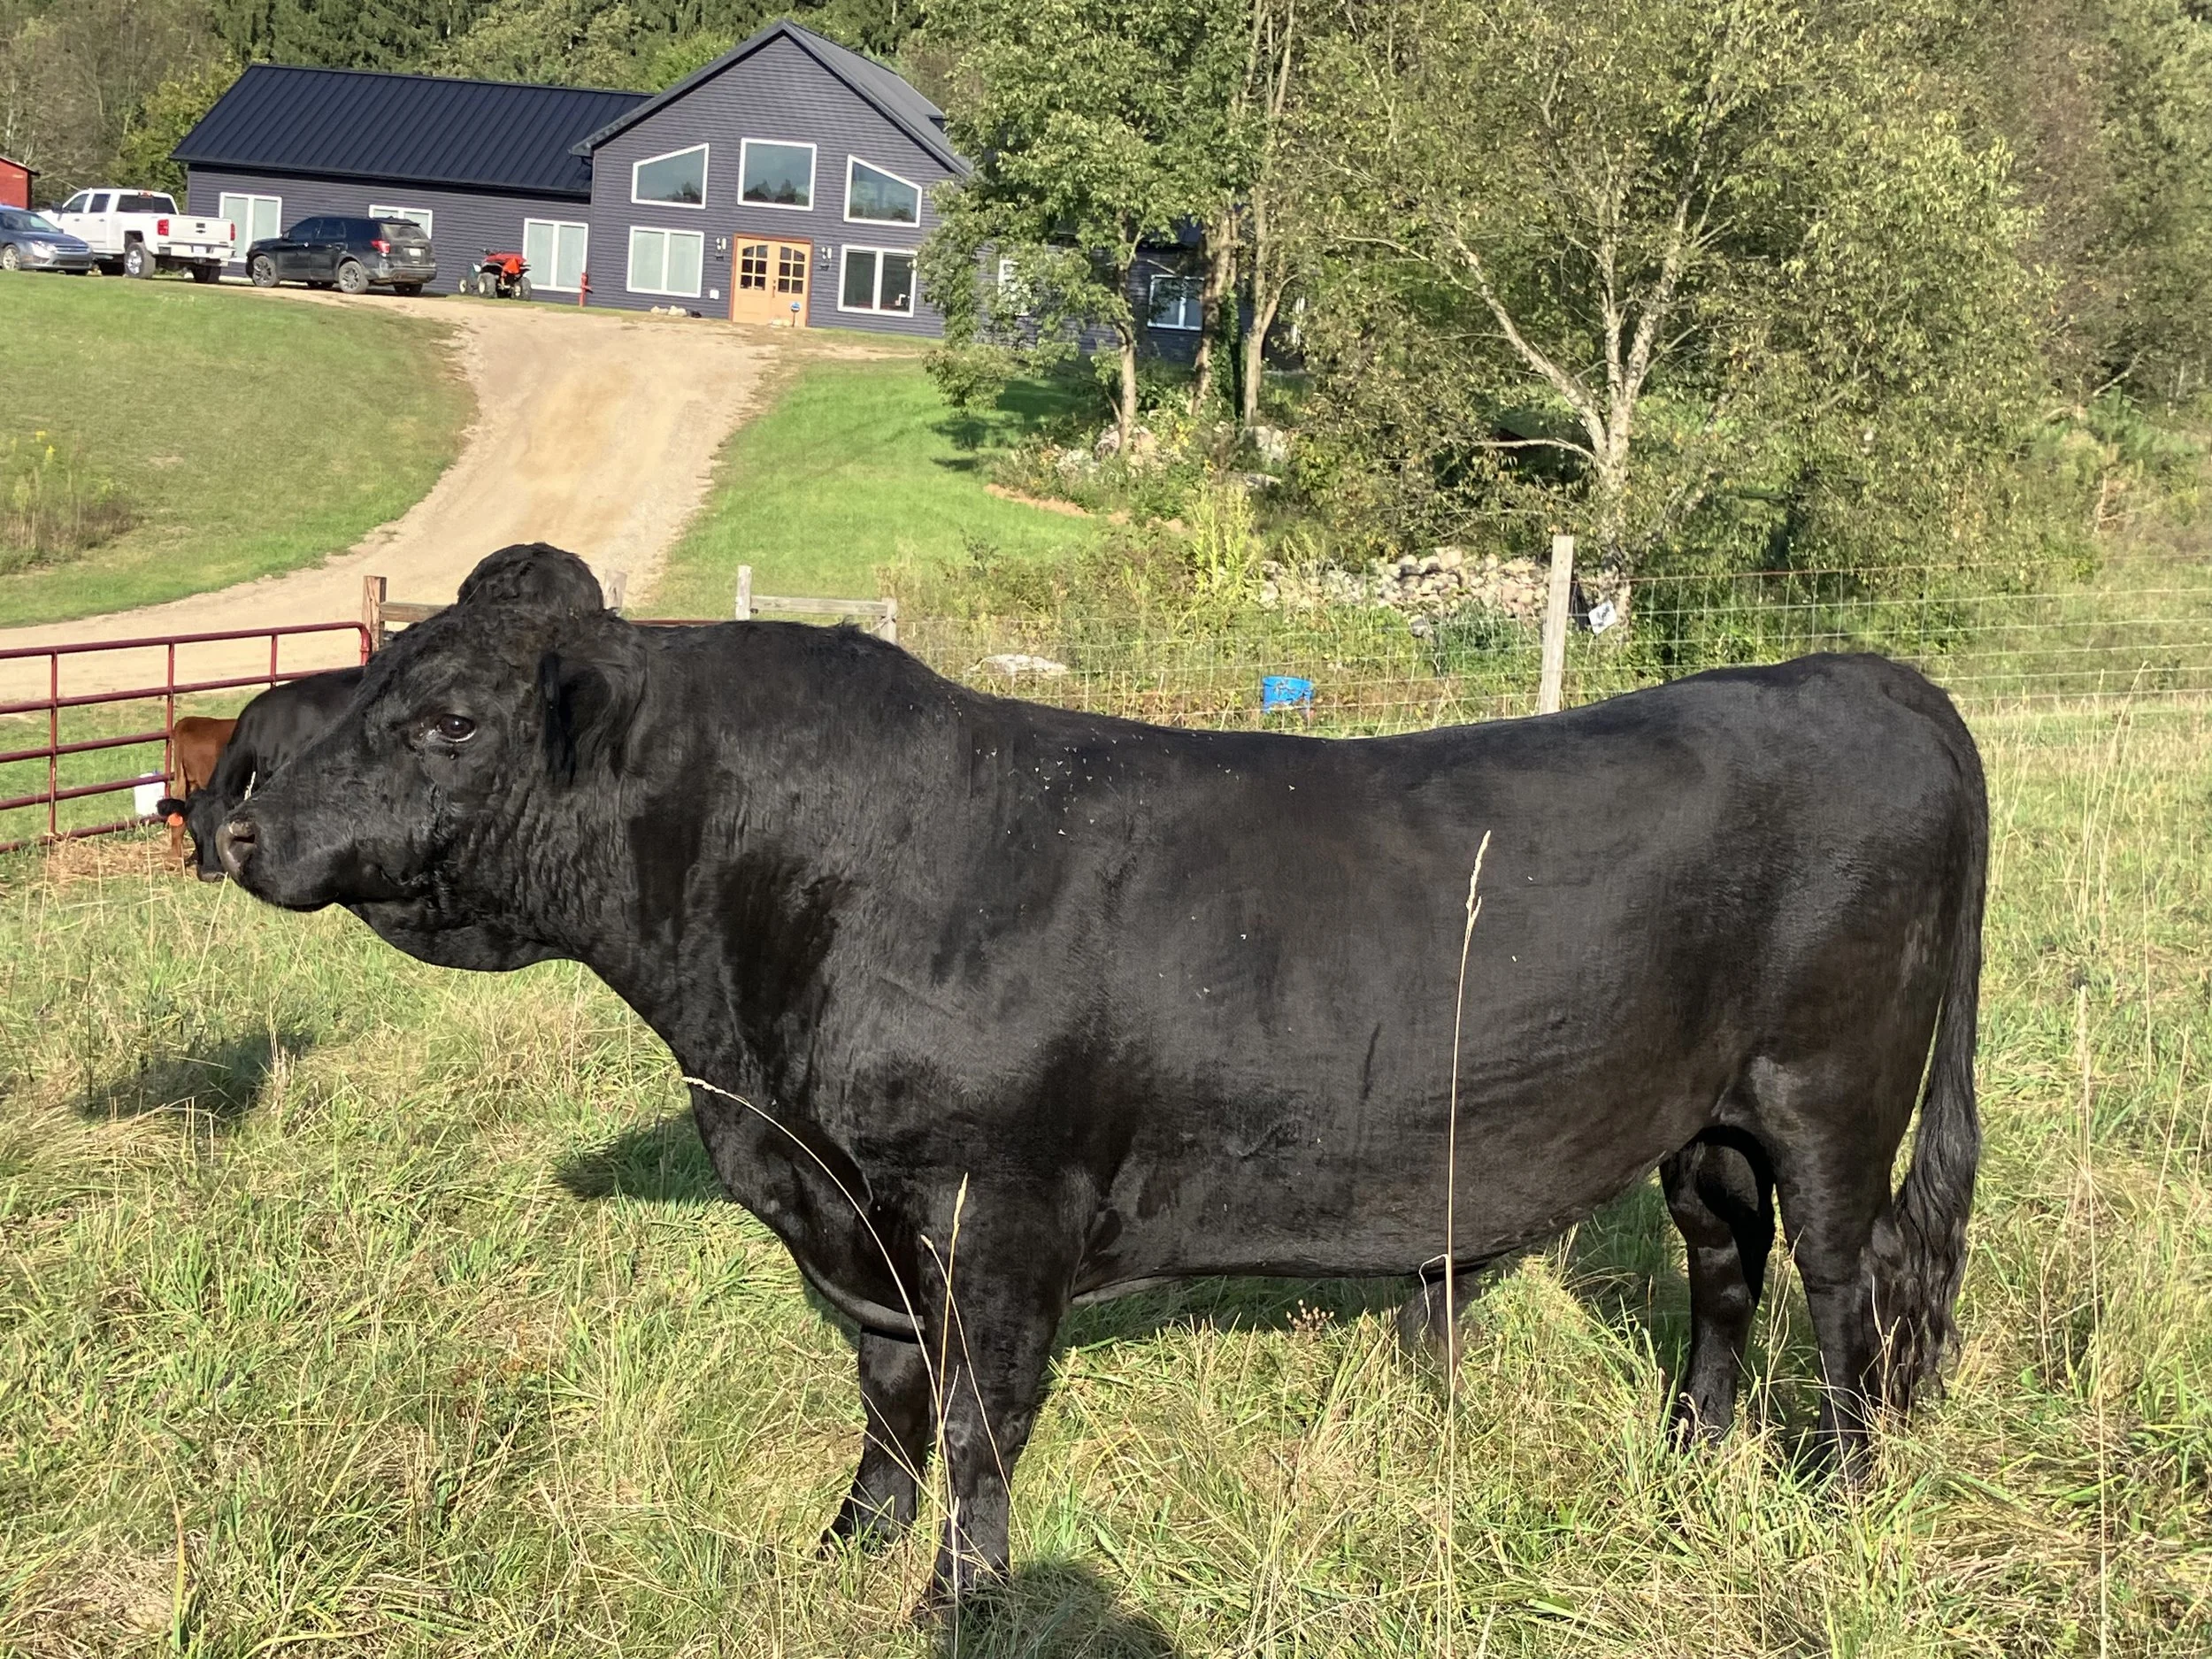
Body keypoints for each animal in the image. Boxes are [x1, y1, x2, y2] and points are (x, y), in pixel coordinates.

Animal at [215, 543, 1986, 1610]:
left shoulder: (995, 1205)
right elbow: (890, 1395)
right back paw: (1687, 1465)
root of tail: (1867, 674)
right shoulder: (860, 1218)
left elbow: (982, 1416)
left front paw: (961, 1598)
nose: (239, 813)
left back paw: (1831, 1491)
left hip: (1835, 1092)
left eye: (449, 719)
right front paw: (847, 1548)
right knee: (1724, 1268)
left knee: (1851, 1291)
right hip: (1705, 1118)